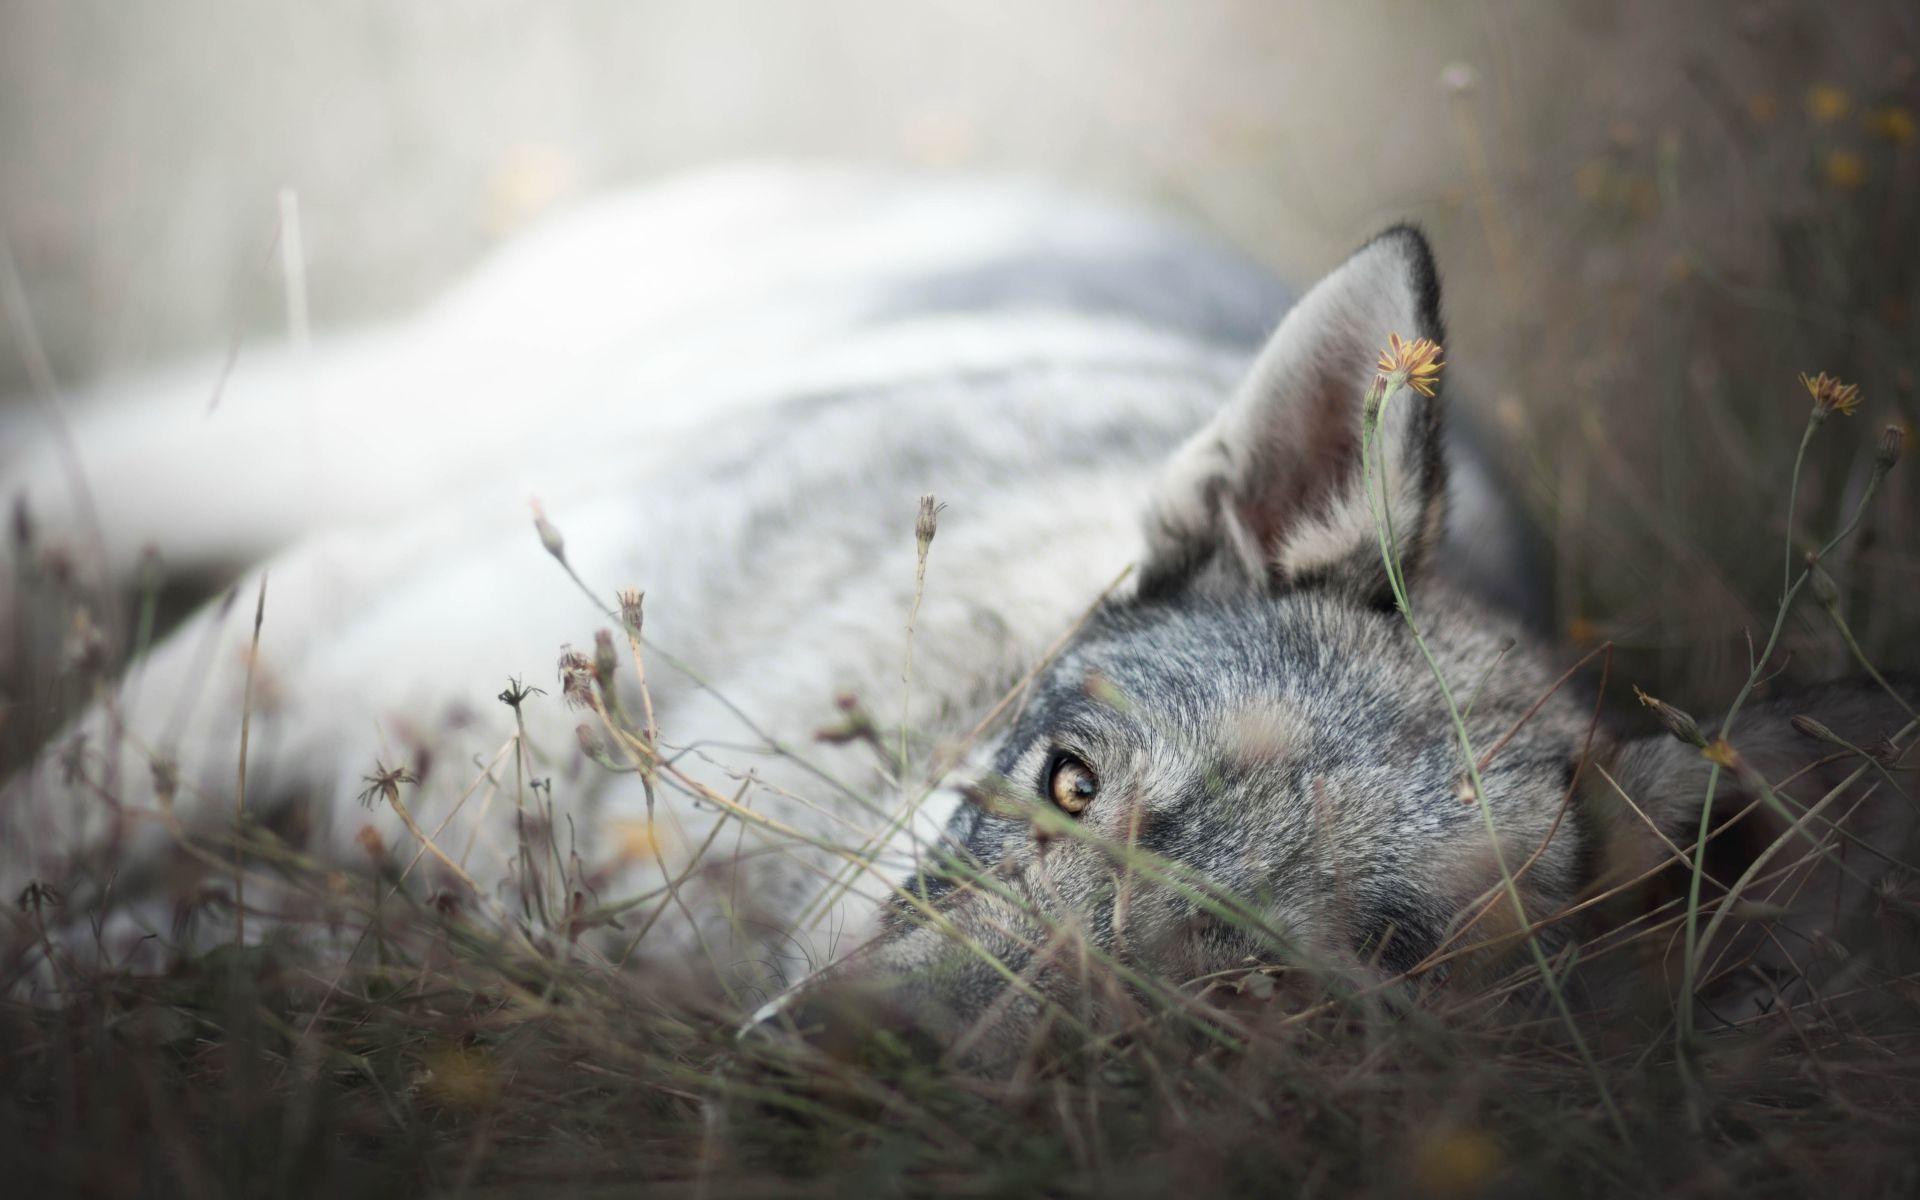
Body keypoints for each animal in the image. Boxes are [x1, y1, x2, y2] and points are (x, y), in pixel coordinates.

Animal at [3, 166, 1910, 1064]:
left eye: (1258, 988)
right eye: (1069, 785)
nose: (847, 1062)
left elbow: (200, 939)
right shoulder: (295, 641)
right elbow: (43, 861)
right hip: (292, 450)